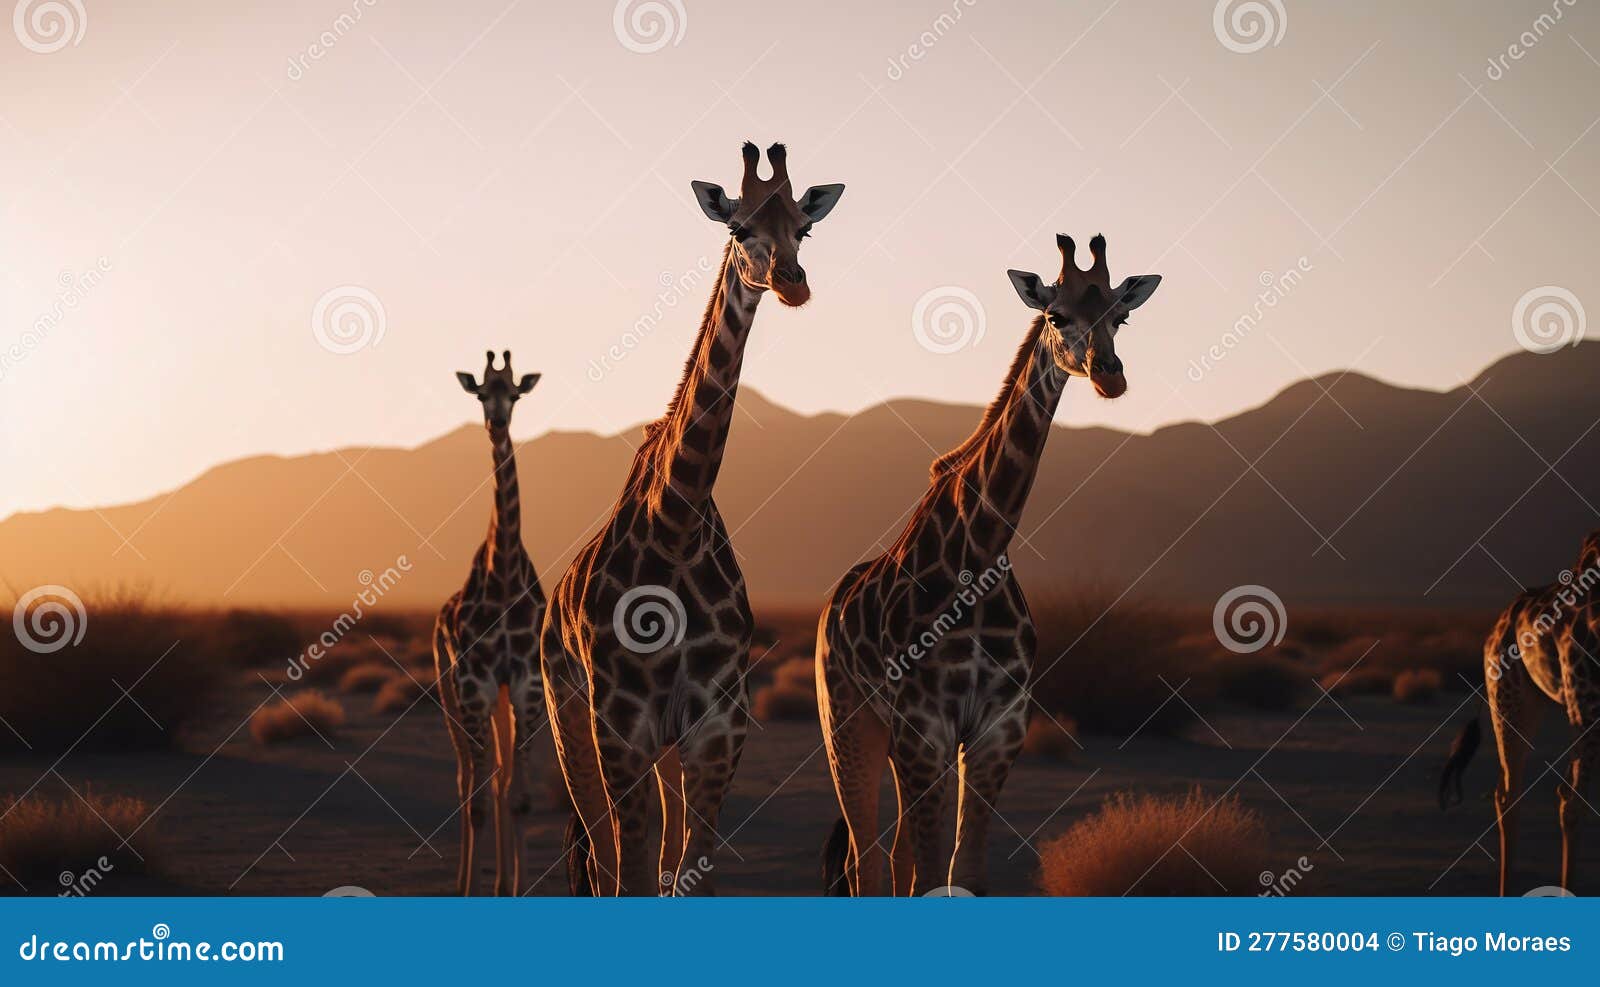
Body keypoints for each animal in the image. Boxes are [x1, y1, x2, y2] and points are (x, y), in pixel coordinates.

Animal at [542, 142, 845, 896]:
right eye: (738, 226)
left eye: (804, 228)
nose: (792, 283)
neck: (675, 523)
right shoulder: (620, 727)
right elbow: (628, 874)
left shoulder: (717, 728)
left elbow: (689, 875)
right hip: (569, 720)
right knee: (598, 857)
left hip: (666, 750)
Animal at [816, 234, 1162, 895]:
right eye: (1057, 315)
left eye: (1121, 316)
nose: (1110, 376)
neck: (976, 553)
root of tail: (828, 607)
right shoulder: (924, 725)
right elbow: (931, 874)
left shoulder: (999, 728)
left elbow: (963, 872)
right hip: (847, 722)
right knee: (862, 861)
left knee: (890, 856)